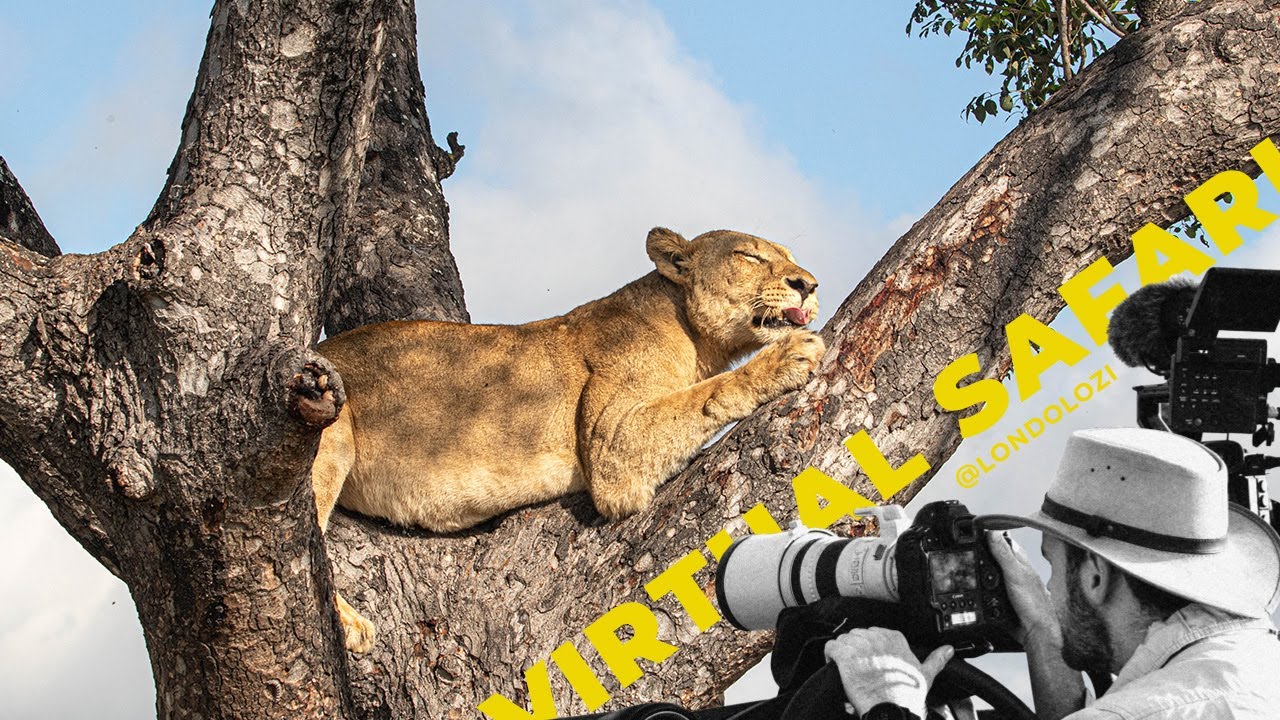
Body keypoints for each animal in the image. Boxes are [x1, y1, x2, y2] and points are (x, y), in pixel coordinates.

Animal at [312, 227, 824, 652]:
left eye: (792, 257)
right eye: (750, 256)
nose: (810, 285)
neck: (697, 339)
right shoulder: (613, 443)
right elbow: (704, 396)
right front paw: (788, 357)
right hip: (330, 426)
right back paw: (350, 624)